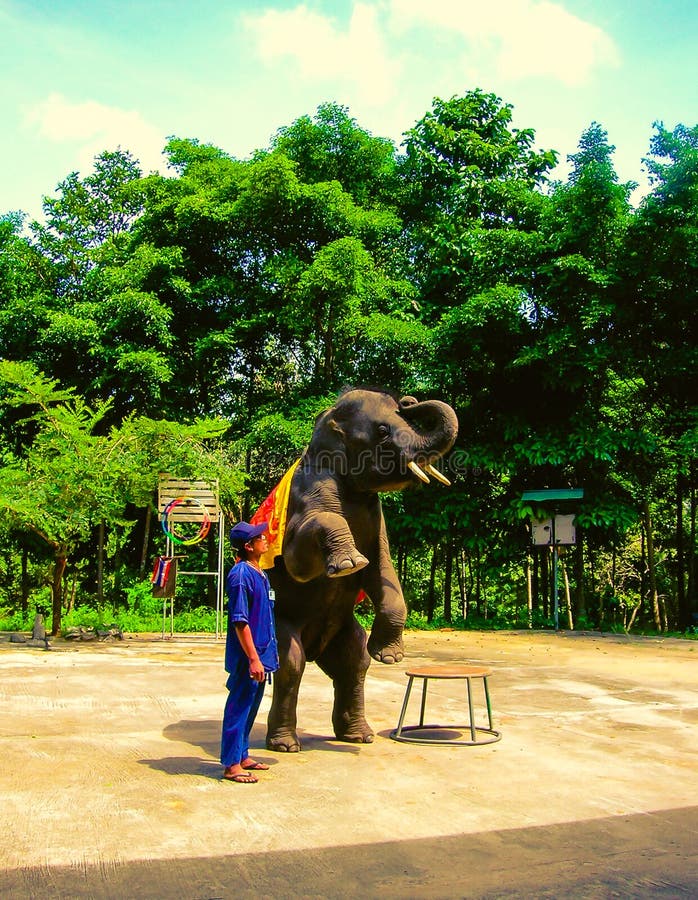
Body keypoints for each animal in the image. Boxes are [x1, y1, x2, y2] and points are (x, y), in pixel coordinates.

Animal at [264, 387, 459, 752]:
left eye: (404, 416)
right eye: (382, 431)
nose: (410, 400)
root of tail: (315, 648)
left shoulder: (375, 516)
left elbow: (383, 567)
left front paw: (391, 659)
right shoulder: (306, 495)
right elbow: (298, 562)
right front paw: (347, 564)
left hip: (344, 631)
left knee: (354, 664)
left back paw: (360, 736)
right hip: (276, 621)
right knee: (291, 663)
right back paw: (285, 746)